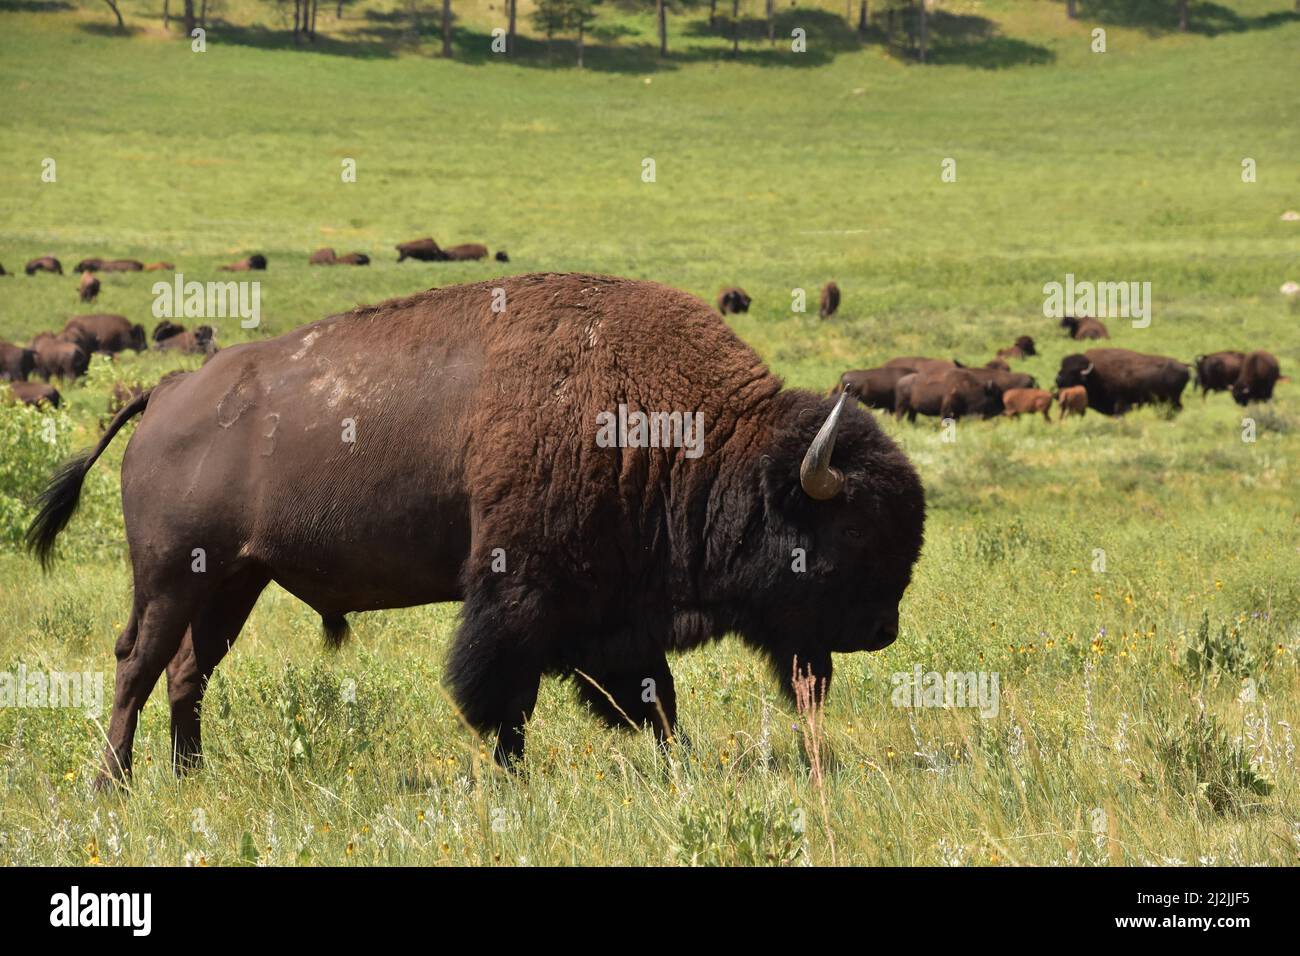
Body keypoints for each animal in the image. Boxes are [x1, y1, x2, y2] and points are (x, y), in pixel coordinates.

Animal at [27, 273, 926, 785]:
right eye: (847, 537)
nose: (882, 630)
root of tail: (167, 390)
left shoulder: (609, 618)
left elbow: (653, 699)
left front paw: (678, 768)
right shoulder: (518, 596)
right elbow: (505, 696)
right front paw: (511, 779)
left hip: (233, 582)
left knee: (188, 673)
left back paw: (190, 777)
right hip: (169, 577)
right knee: (137, 665)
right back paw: (114, 785)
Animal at [1055, 348, 1189, 415]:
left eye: (1073, 372)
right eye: (1062, 367)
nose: (1057, 380)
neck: (1095, 374)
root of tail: (1183, 364)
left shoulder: (1121, 403)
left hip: (1173, 399)